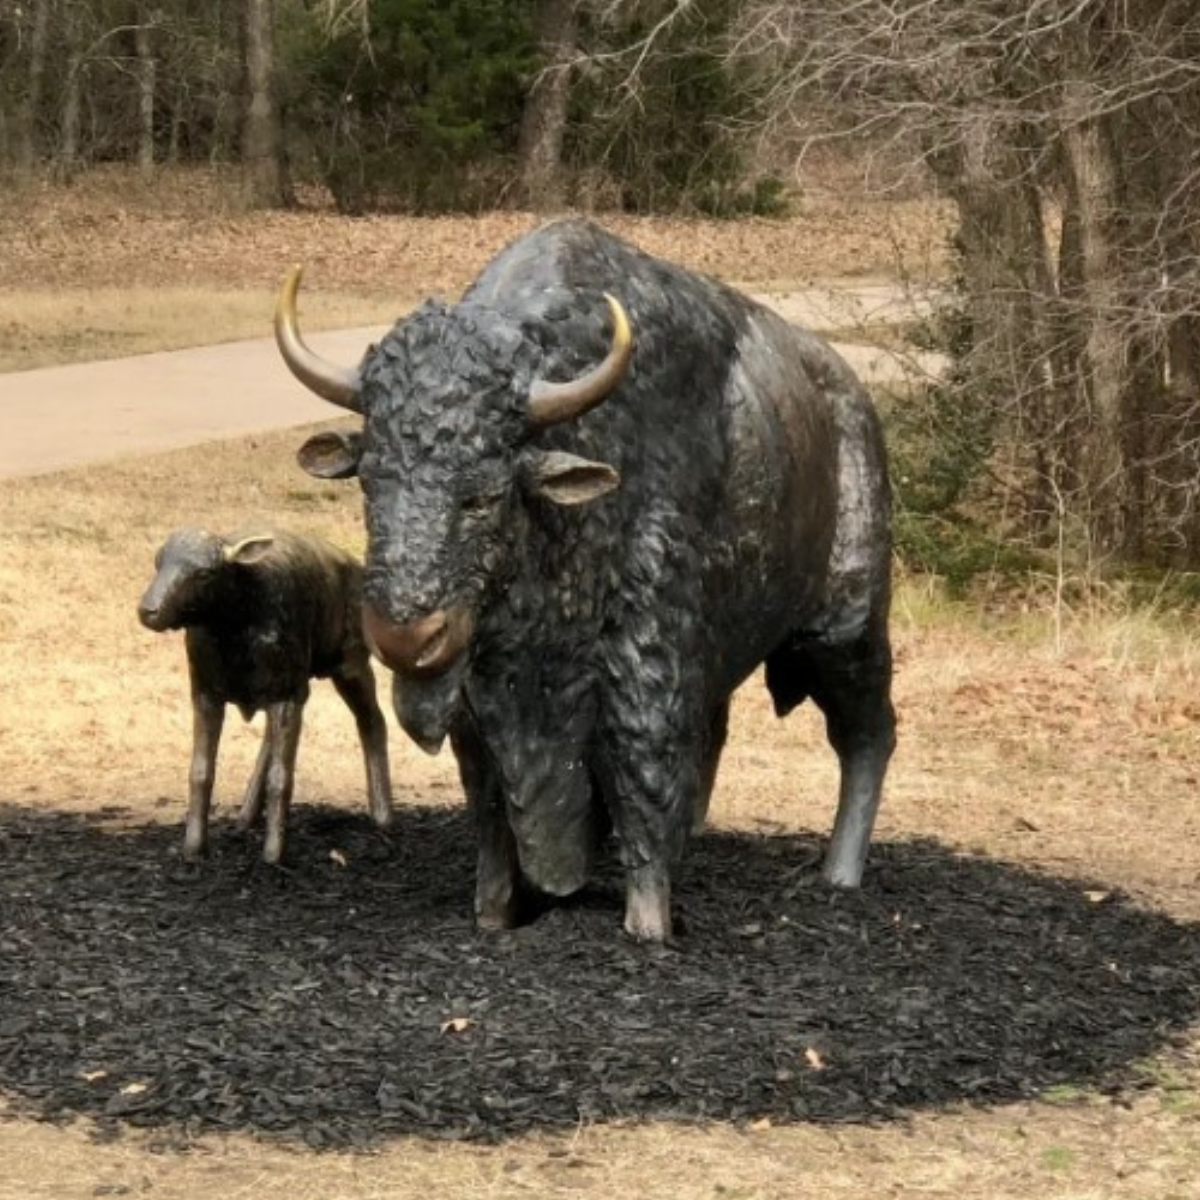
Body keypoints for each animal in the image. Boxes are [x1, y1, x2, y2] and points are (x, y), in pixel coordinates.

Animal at [275, 219, 895, 941]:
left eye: (482, 494)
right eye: (370, 482)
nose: (407, 637)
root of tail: (854, 403)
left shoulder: (644, 665)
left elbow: (642, 782)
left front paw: (649, 929)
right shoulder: (485, 709)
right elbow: (492, 806)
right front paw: (494, 916)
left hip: (846, 632)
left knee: (867, 735)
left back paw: (840, 875)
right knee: (722, 736)